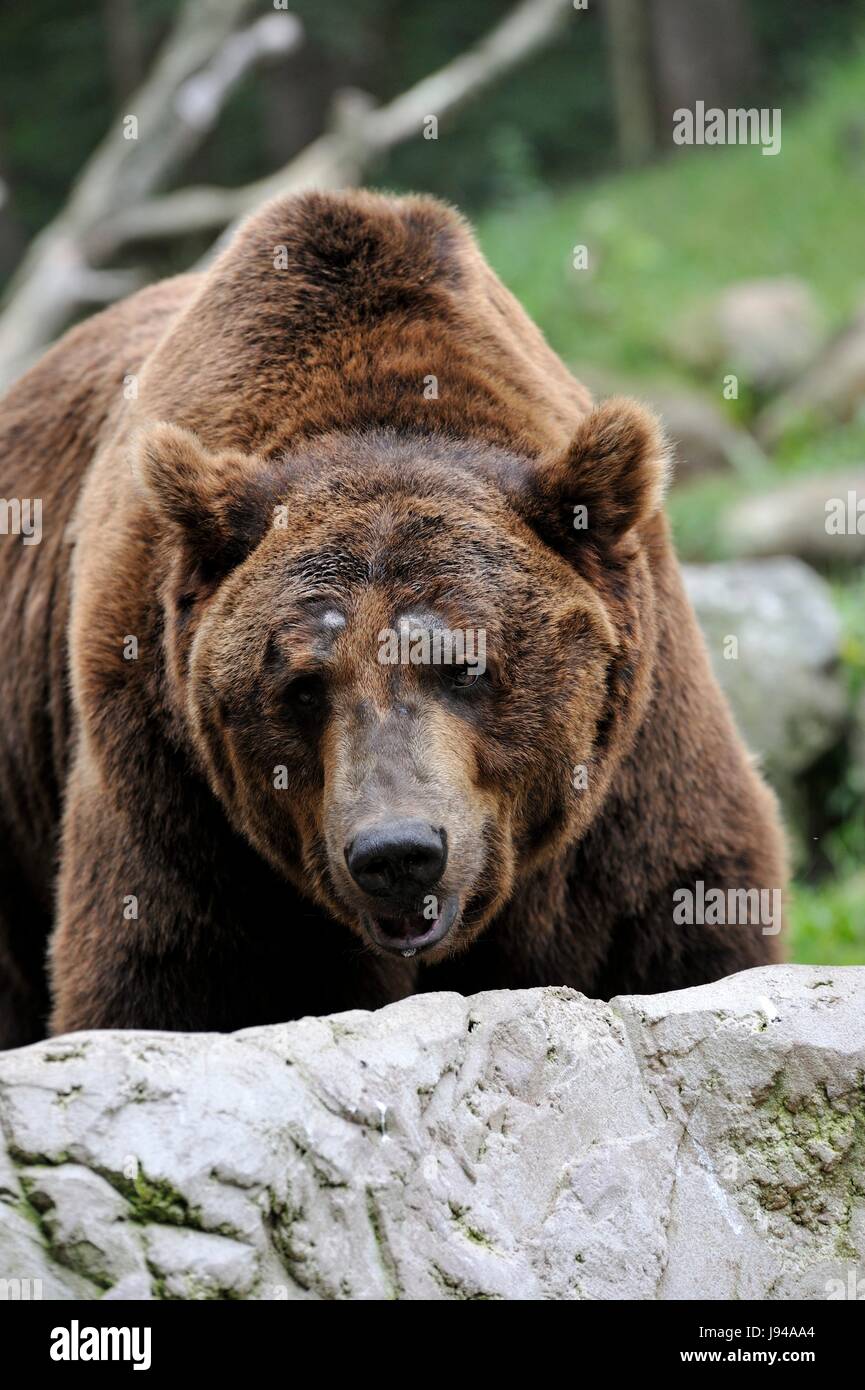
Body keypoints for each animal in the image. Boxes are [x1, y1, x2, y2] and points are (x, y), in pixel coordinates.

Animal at [0, 189, 786, 1049]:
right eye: (301, 686)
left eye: (465, 663)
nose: (397, 853)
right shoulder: (175, 798)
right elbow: (161, 982)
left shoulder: (635, 789)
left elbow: (684, 927)